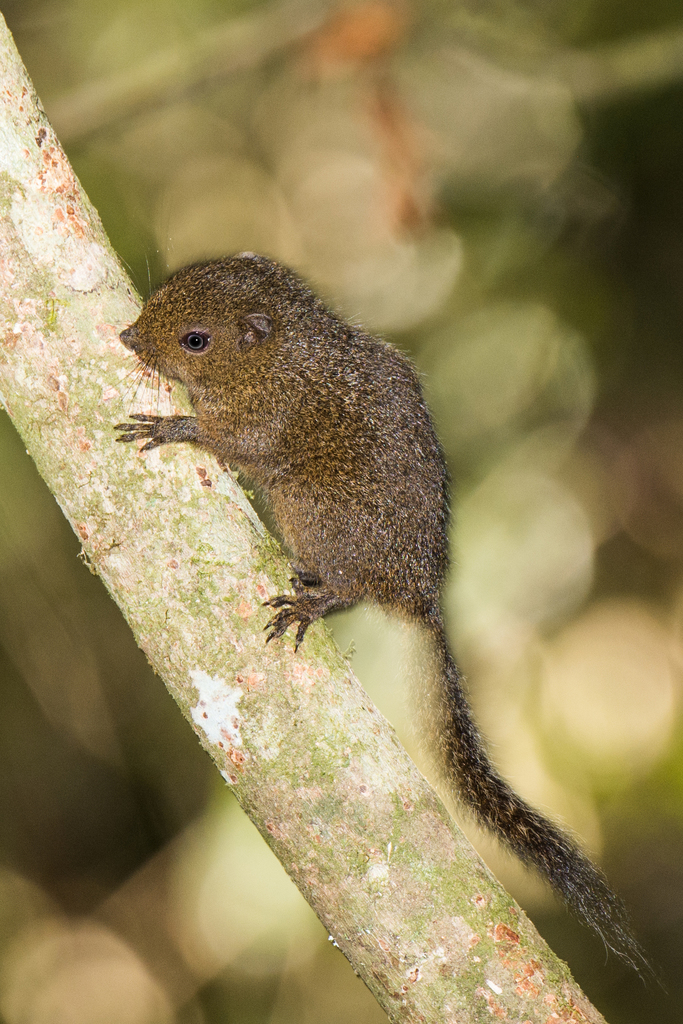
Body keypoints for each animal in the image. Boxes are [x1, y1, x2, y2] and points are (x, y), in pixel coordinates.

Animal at [115, 252, 648, 973]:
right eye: (160, 298)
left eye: (194, 340)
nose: (129, 337)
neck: (280, 358)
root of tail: (419, 591)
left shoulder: (268, 420)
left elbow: (232, 441)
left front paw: (175, 428)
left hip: (315, 510)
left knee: (350, 588)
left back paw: (315, 596)